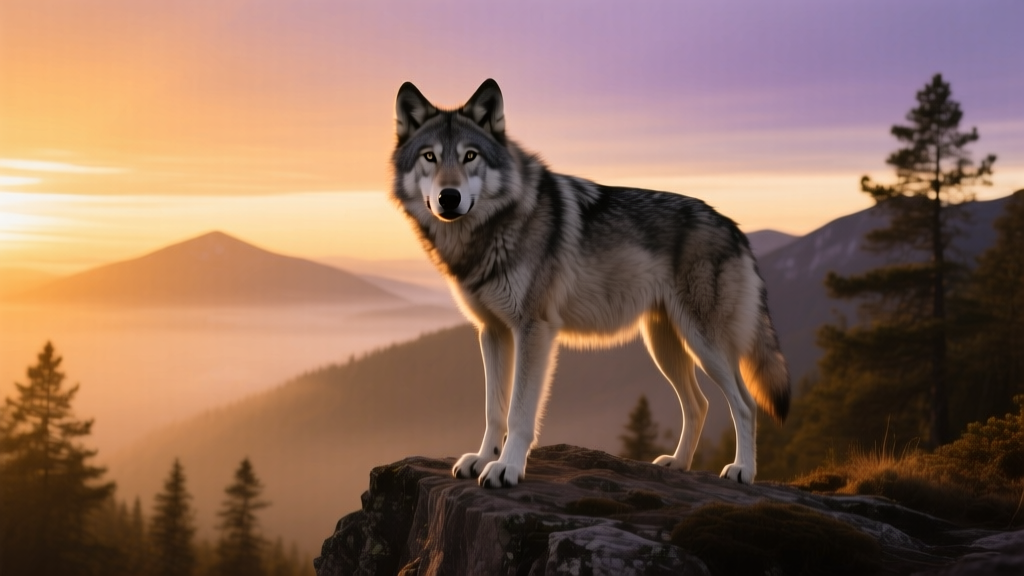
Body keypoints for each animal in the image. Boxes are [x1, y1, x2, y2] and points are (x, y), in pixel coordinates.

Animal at [390, 79, 790, 487]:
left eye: (470, 156)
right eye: (430, 157)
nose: (448, 197)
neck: (491, 231)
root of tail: (734, 227)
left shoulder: (534, 330)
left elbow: (519, 413)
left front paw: (507, 468)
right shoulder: (492, 332)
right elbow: (493, 409)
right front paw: (483, 458)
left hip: (704, 343)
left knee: (745, 403)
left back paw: (743, 470)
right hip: (664, 345)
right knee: (699, 404)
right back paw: (678, 463)